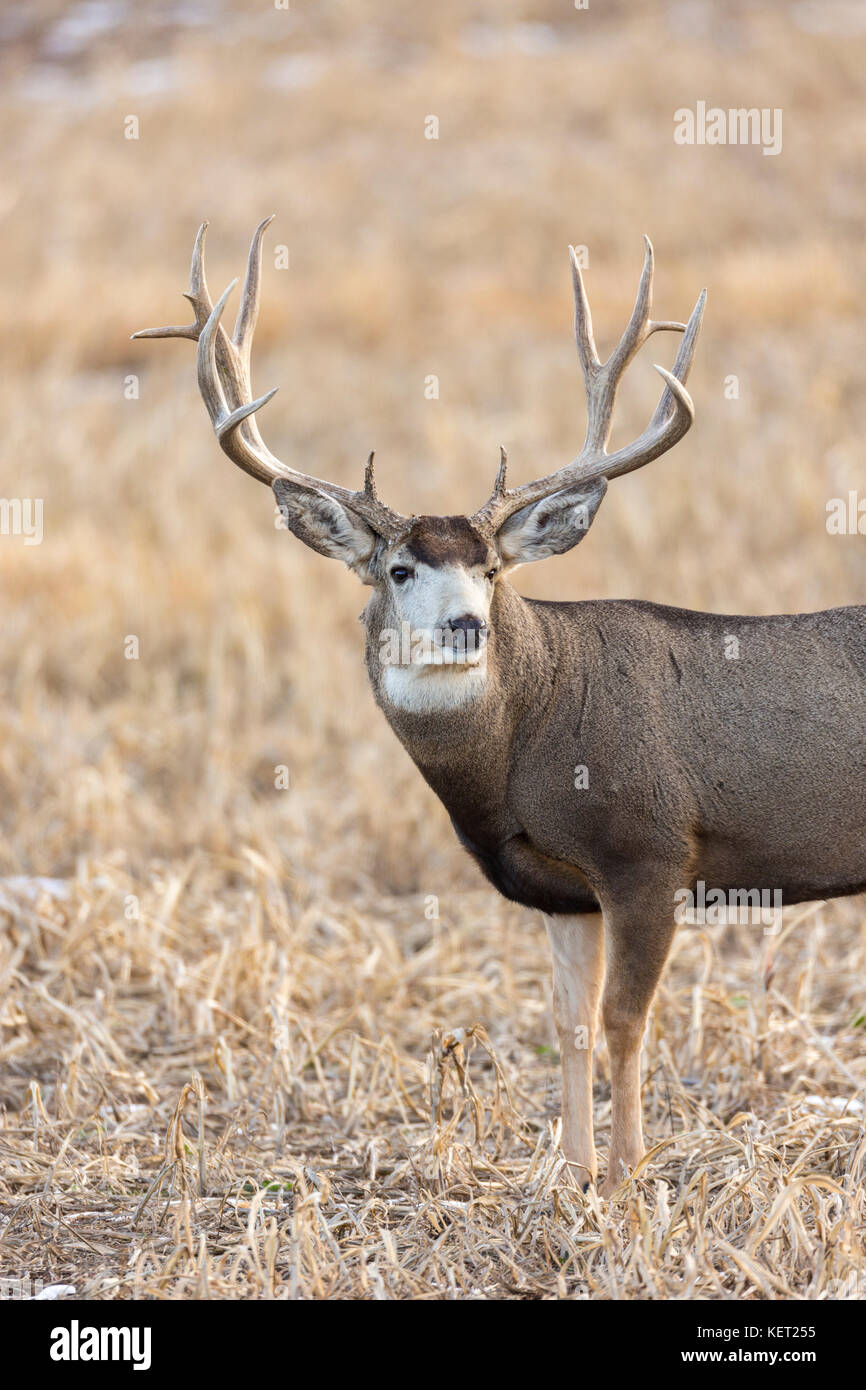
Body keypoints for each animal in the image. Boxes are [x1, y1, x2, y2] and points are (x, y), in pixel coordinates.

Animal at [134, 219, 866, 1197]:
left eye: (489, 569)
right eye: (399, 568)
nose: (465, 624)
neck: (521, 753)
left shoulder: (649, 852)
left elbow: (628, 1022)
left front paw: (629, 1177)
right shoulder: (562, 893)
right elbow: (569, 1023)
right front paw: (570, 1174)